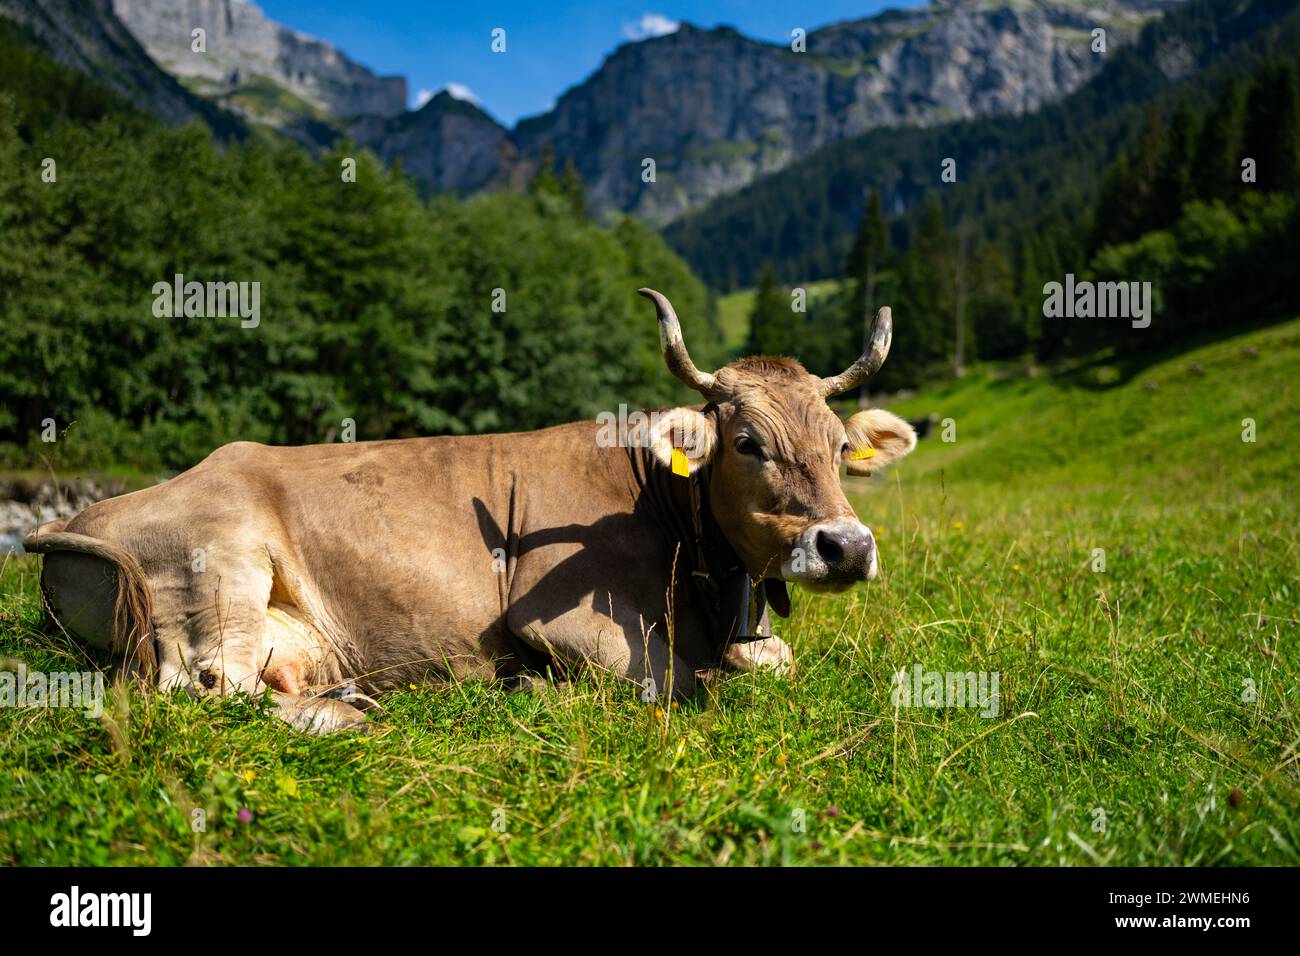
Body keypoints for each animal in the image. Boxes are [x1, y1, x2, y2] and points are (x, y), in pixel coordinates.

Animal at [23, 290, 916, 733]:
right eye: (747, 443)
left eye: (840, 445)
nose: (845, 545)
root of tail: (77, 518)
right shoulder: (557, 616)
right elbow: (676, 682)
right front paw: (535, 690)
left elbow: (773, 662)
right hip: (215, 570)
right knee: (203, 688)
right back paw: (344, 720)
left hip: (293, 630)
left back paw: (347, 701)